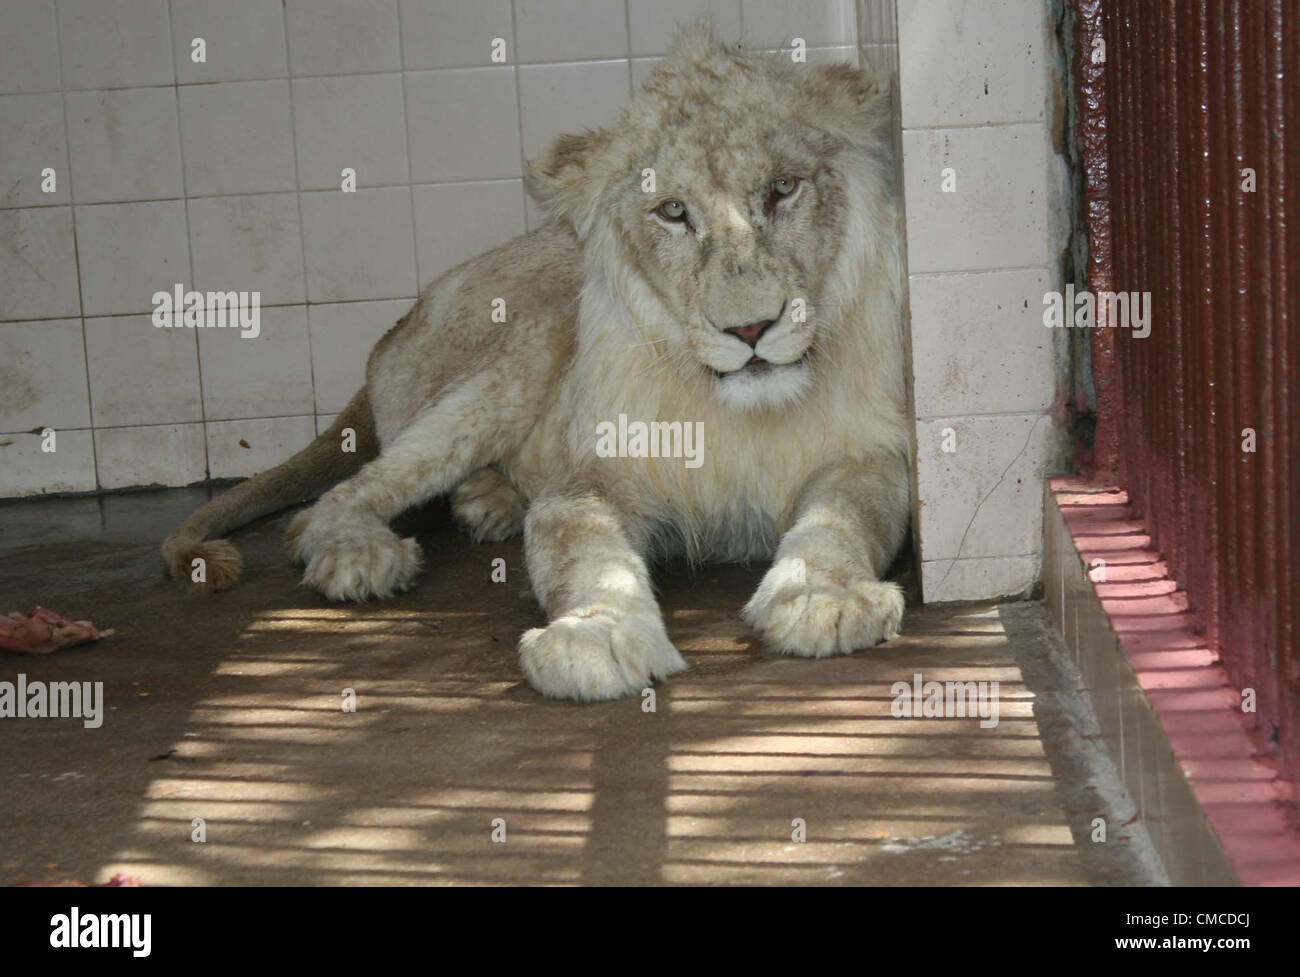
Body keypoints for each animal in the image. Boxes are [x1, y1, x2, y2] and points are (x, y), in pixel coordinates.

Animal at [162, 24, 913, 701]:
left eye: (783, 188)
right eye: (673, 211)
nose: (751, 327)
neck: (735, 408)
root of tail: (391, 330)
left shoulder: (871, 453)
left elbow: (841, 518)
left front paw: (824, 596)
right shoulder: (596, 469)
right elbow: (580, 548)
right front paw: (596, 634)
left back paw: (486, 502)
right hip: (529, 342)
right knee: (334, 499)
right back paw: (362, 553)